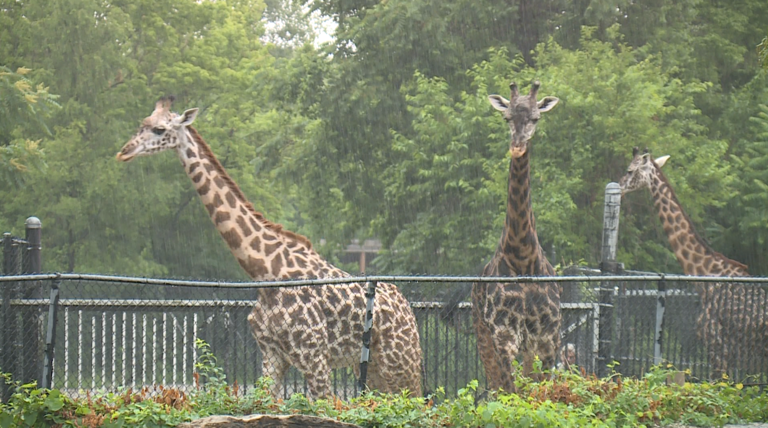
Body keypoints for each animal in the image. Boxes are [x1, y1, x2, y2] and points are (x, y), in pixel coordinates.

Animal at [116, 97, 422, 399]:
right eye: (142, 123)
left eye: (159, 130)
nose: (124, 152)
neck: (263, 269)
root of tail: (408, 310)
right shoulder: (272, 354)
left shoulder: (314, 355)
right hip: (374, 367)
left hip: (400, 362)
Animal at [472, 81, 561, 392]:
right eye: (506, 117)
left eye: (535, 118)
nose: (517, 147)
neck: (522, 255)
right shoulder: (503, 335)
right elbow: (511, 391)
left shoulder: (549, 339)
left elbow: (542, 392)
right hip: (483, 335)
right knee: (496, 384)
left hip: (529, 347)